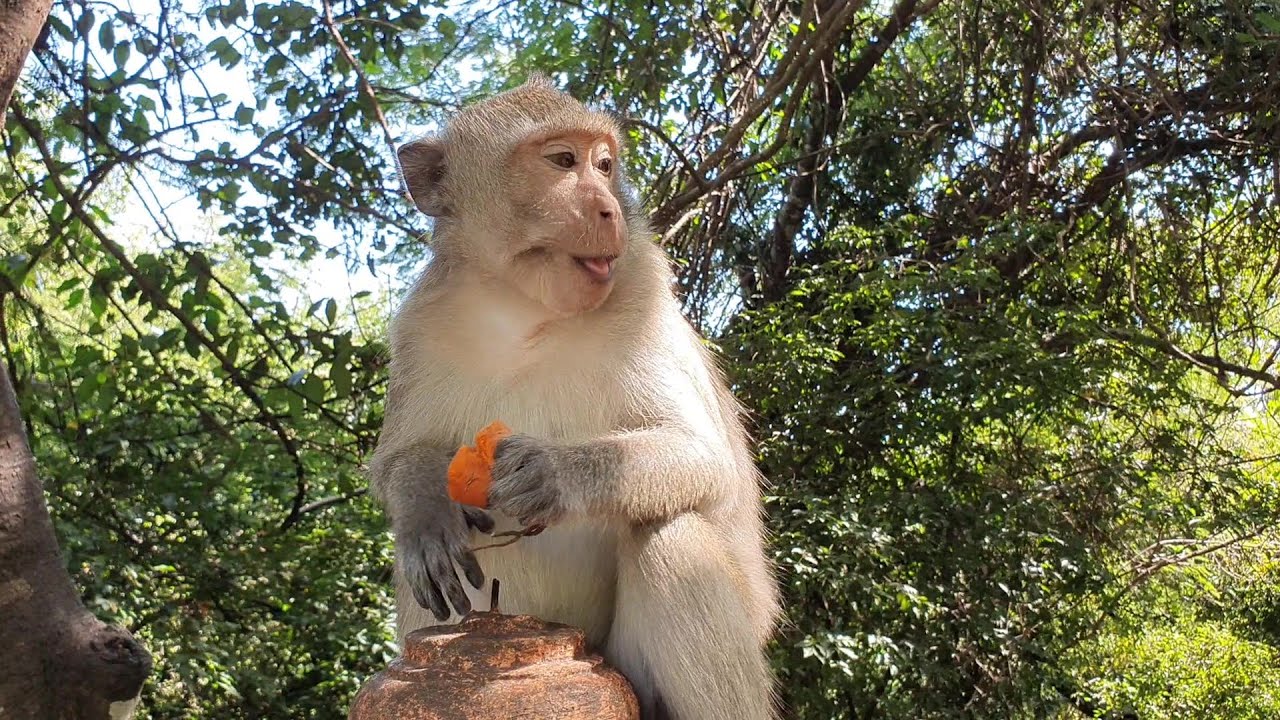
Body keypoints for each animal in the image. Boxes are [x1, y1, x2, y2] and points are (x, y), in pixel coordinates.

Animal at [368, 76, 779, 720]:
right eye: (562, 161)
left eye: (604, 166)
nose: (608, 208)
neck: (524, 310)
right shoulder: (419, 326)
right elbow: (396, 461)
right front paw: (426, 508)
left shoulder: (644, 293)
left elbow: (706, 459)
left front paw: (554, 474)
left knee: (672, 536)